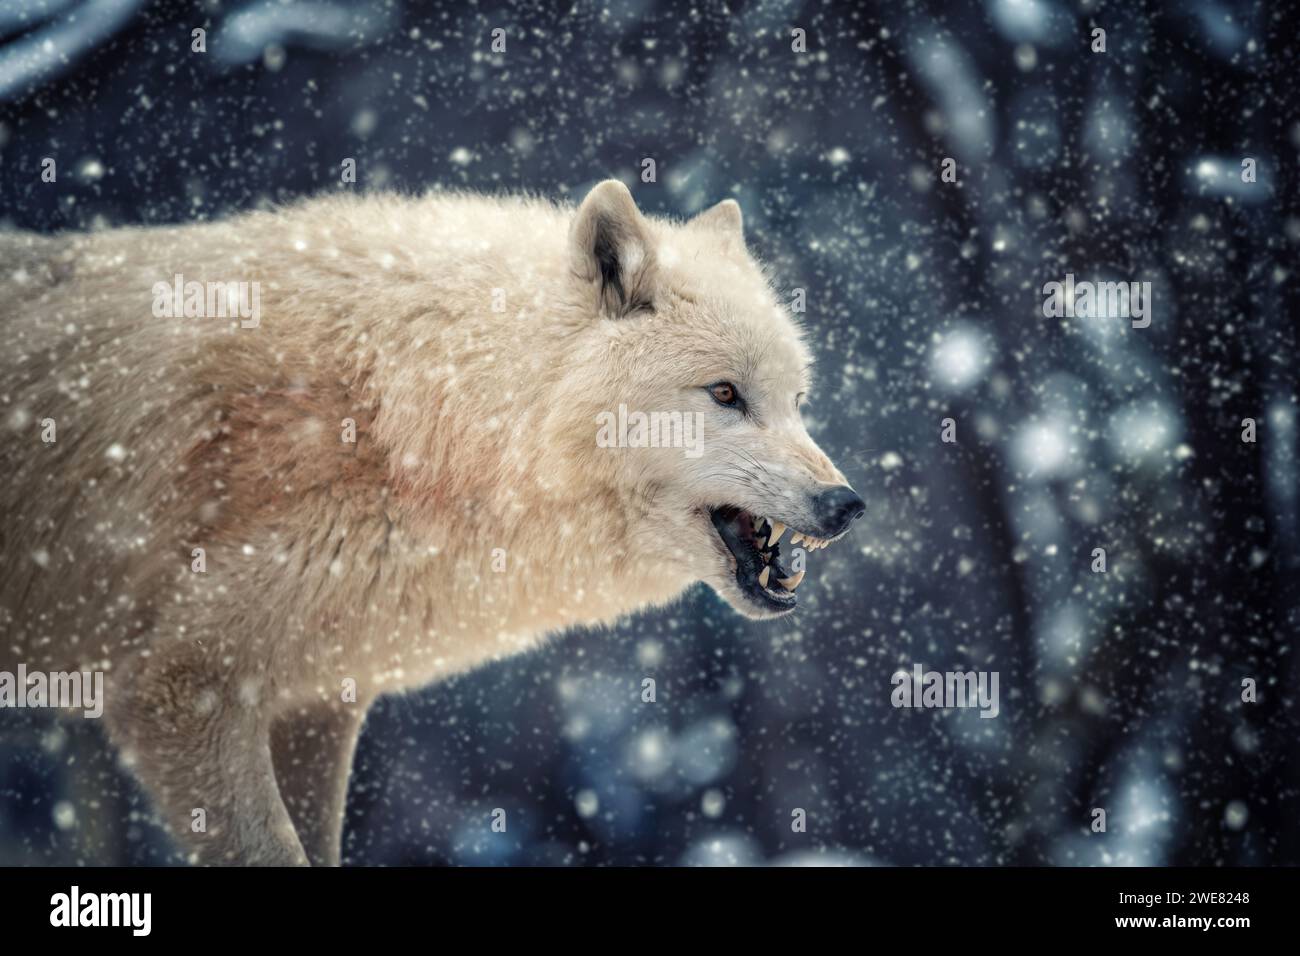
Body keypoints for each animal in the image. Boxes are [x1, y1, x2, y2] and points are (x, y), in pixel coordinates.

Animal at [0, 180, 864, 865]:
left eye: (798, 401)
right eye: (724, 394)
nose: (847, 506)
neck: (414, 411)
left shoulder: (316, 704)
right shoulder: (183, 690)